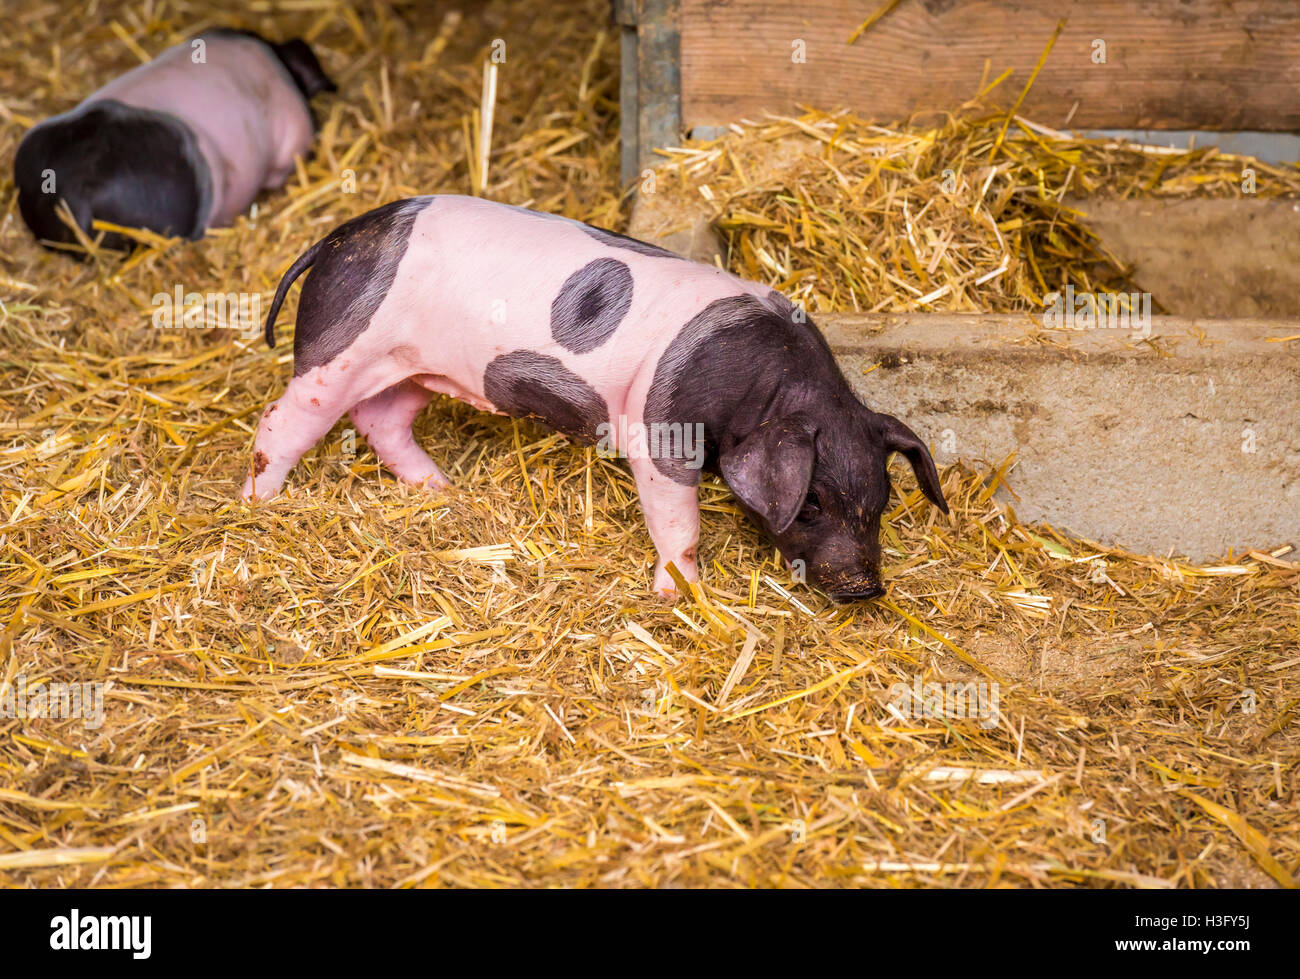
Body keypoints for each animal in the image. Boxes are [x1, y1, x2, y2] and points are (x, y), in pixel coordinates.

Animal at [241, 196, 948, 601]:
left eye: (884, 500)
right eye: (811, 504)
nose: (863, 589)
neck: (770, 393)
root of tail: (339, 236)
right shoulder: (660, 432)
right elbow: (678, 524)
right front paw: (678, 598)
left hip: (415, 370)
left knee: (381, 419)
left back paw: (440, 489)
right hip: (339, 350)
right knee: (283, 418)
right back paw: (257, 504)